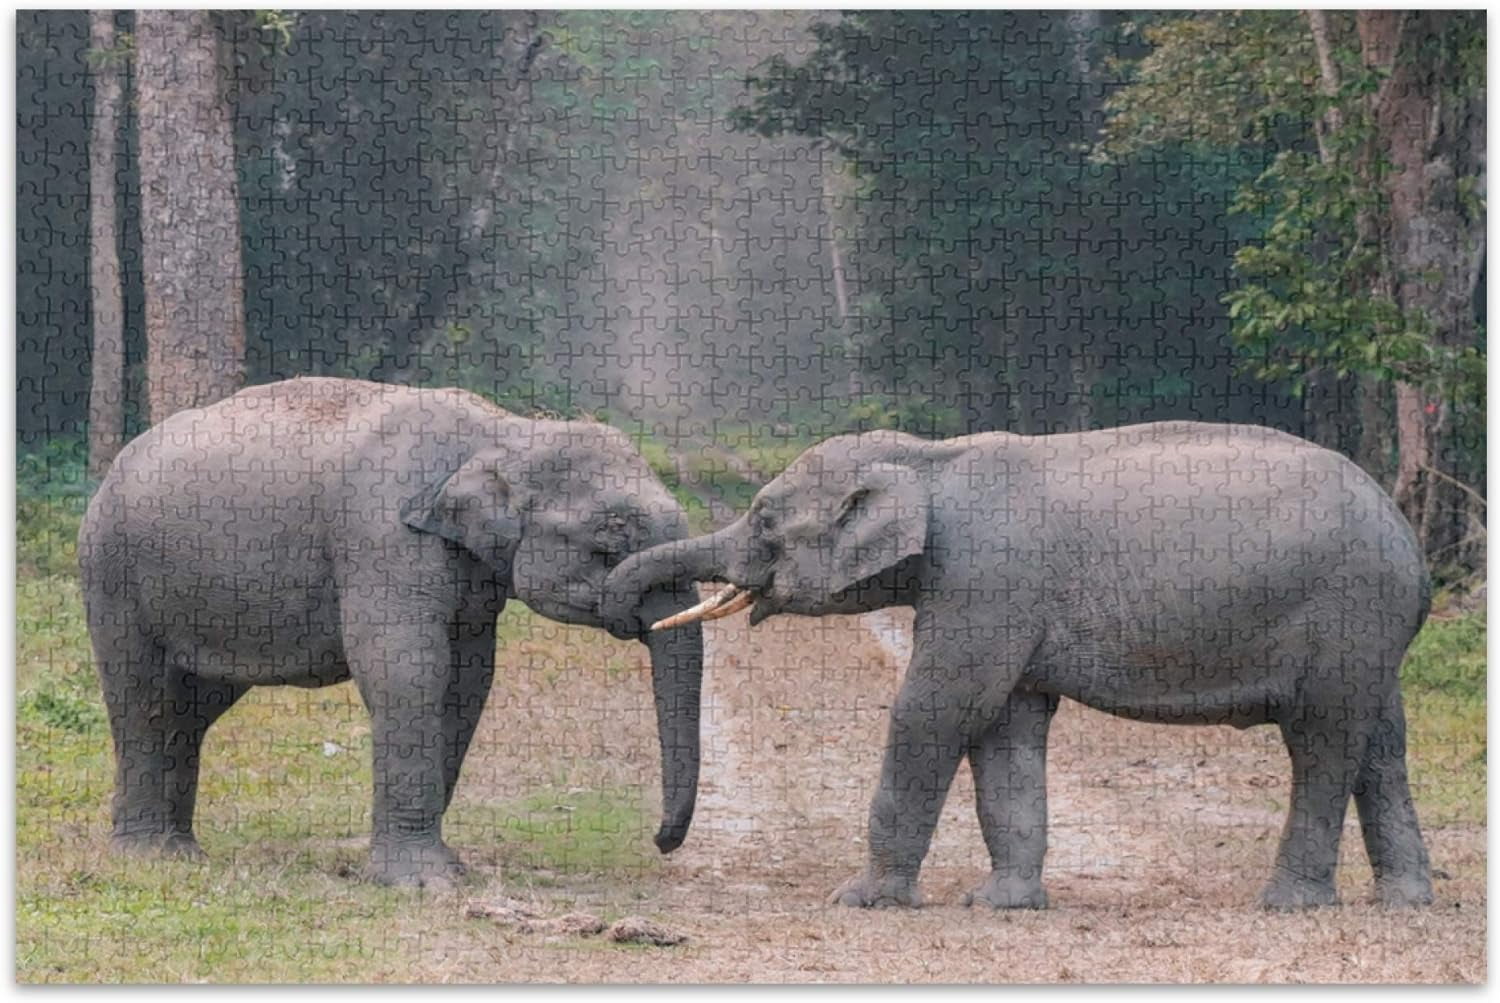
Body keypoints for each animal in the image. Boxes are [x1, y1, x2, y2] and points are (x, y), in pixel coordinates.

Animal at [78, 377, 703, 887]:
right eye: (610, 538)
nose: (660, 842)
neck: (506, 429)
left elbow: (467, 682)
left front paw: (448, 870)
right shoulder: (381, 536)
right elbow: (406, 670)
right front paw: (423, 884)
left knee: (192, 708)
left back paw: (182, 853)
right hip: (112, 571)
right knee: (143, 698)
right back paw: (148, 857)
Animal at [603, 421, 1435, 910]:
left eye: (765, 517)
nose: (662, 844)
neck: (932, 457)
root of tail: (1412, 541)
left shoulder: (986, 578)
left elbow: (938, 707)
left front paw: (860, 898)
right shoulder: (999, 600)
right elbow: (1006, 725)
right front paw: (1001, 903)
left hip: (1349, 610)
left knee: (1322, 740)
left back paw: (1289, 903)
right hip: (1372, 630)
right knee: (1381, 743)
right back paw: (1405, 900)